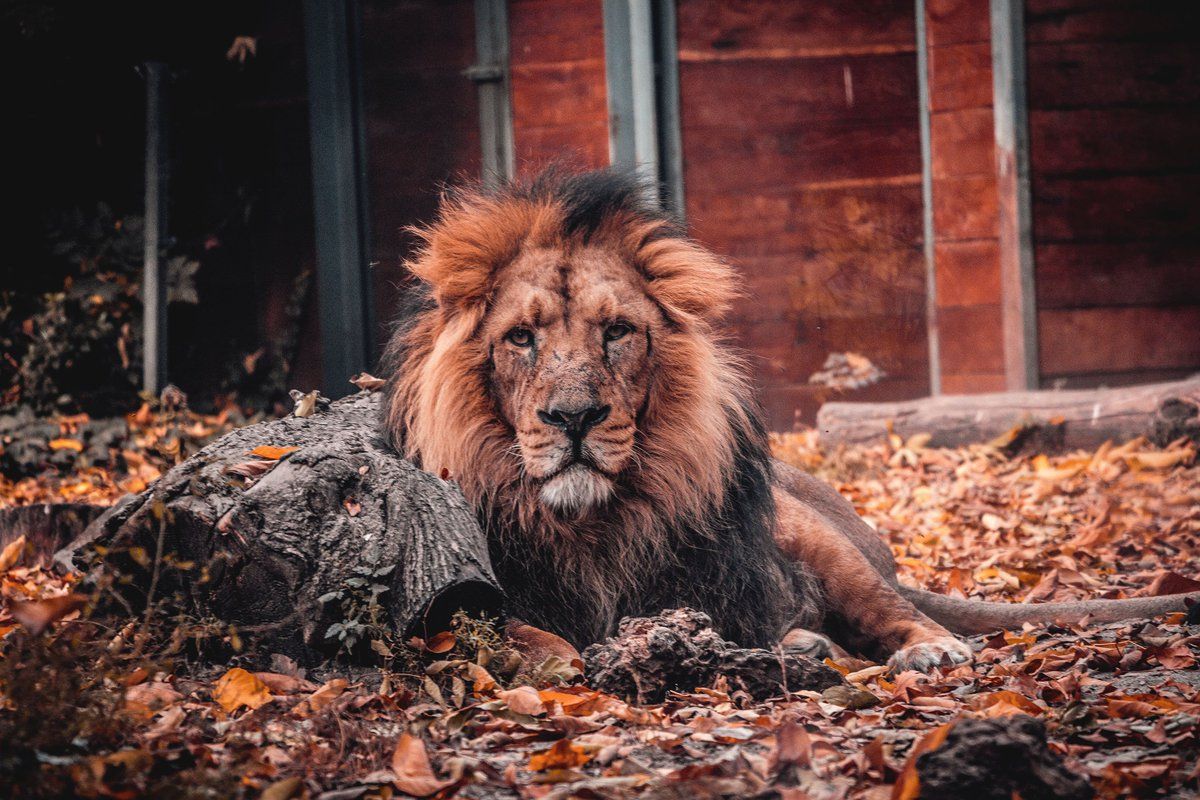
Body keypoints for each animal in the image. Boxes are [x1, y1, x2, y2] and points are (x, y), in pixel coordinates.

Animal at [379, 167, 1198, 672]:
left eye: (617, 332)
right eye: (521, 338)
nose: (574, 417)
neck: (589, 524)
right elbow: (498, 622)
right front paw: (552, 655)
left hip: (819, 539)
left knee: (890, 612)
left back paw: (918, 648)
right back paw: (806, 645)